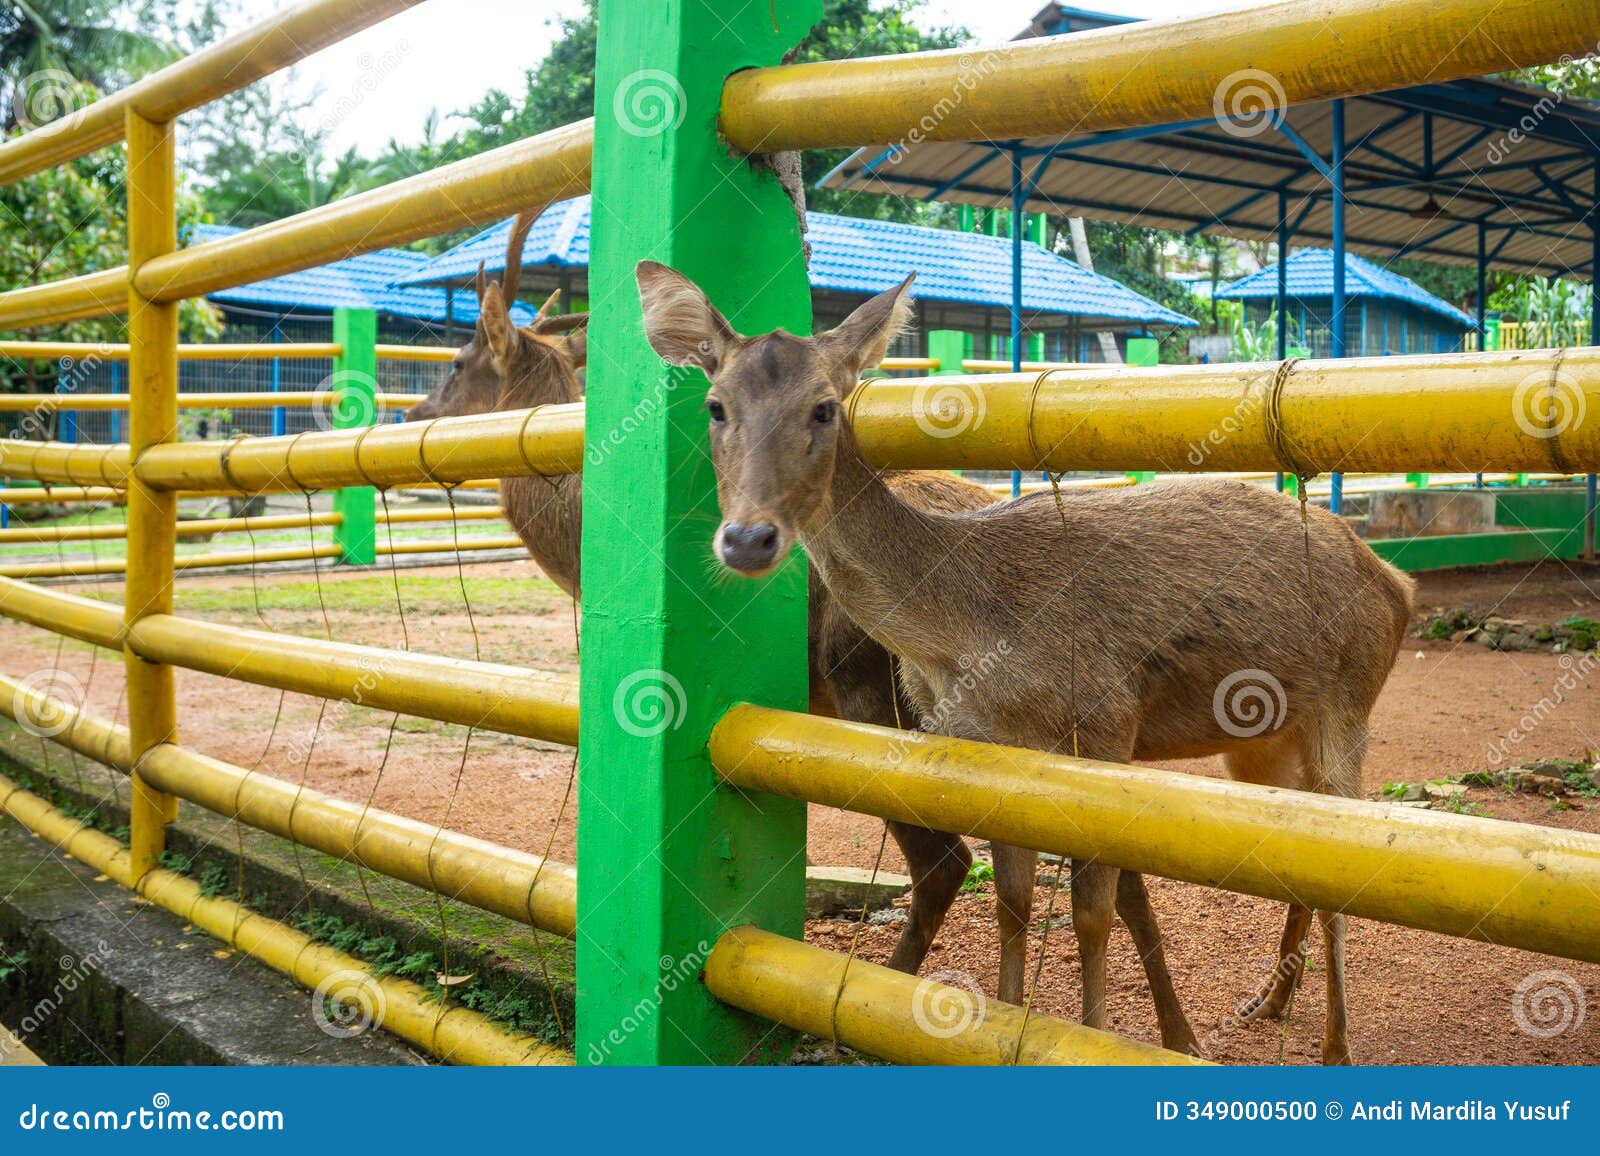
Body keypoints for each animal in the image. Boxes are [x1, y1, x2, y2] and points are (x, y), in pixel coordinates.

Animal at [636, 260, 1416, 1065]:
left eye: (824, 408)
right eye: (715, 405)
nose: (747, 538)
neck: (964, 637)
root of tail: (1399, 584)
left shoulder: (1105, 727)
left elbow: (1092, 913)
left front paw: (1096, 1032)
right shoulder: (987, 749)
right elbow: (1013, 902)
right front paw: (1008, 1021)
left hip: (1347, 703)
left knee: (1347, 867)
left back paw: (1334, 1047)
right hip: (1262, 740)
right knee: (1302, 849)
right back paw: (1271, 1000)